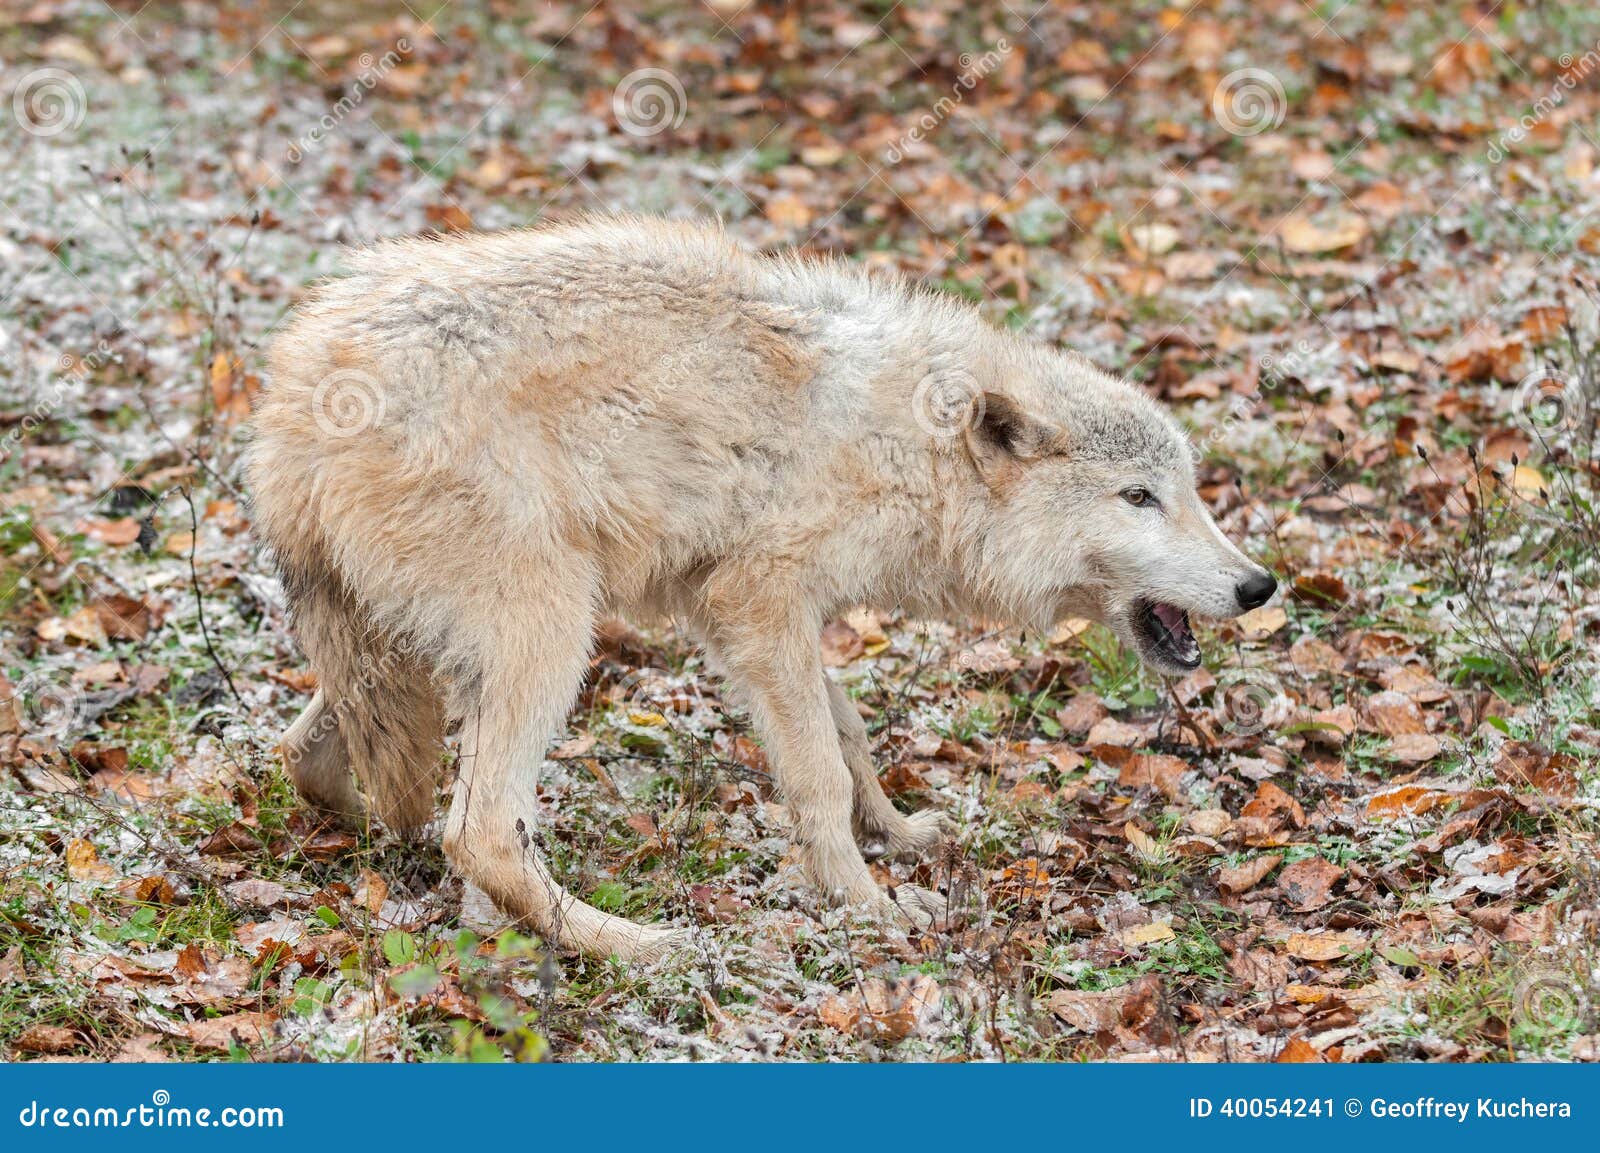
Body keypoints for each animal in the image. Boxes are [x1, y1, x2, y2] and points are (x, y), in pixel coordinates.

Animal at [248, 216, 1276, 960]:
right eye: (1139, 497)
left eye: (1189, 491)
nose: (1259, 584)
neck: (912, 441)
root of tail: (293, 390)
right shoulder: (762, 601)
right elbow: (818, 769)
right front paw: (868, 906)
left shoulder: (739, 613)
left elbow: (848, 734)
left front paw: (896, 831)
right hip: (552, 634)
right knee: (484, 829)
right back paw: (637, 946)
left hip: (419, 657)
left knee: (312, 757)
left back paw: (429, 877)